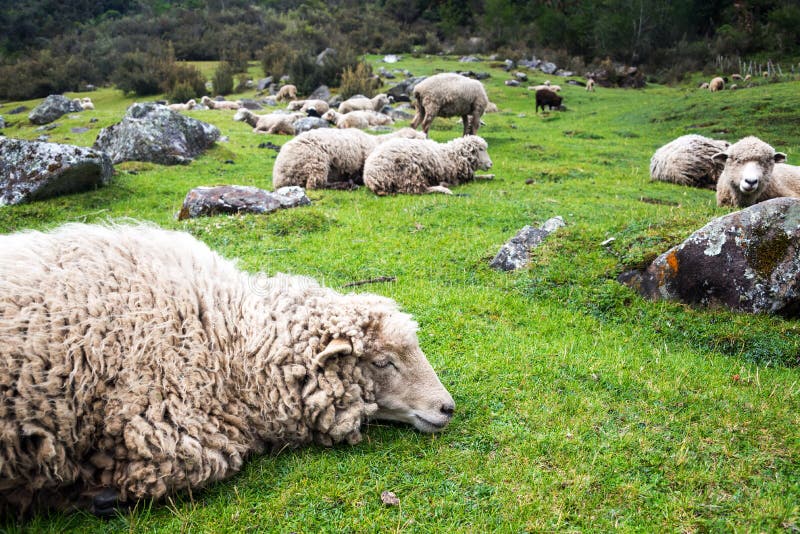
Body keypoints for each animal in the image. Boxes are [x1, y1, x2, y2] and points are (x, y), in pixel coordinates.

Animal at [363, 135, 492, 195]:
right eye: (481, 149)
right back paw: (444, 188)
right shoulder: (454, 176)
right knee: (420, 190)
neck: (453, 155)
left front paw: (489, 176)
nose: (491, 164)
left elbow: (476, 176)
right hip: (410, 172)